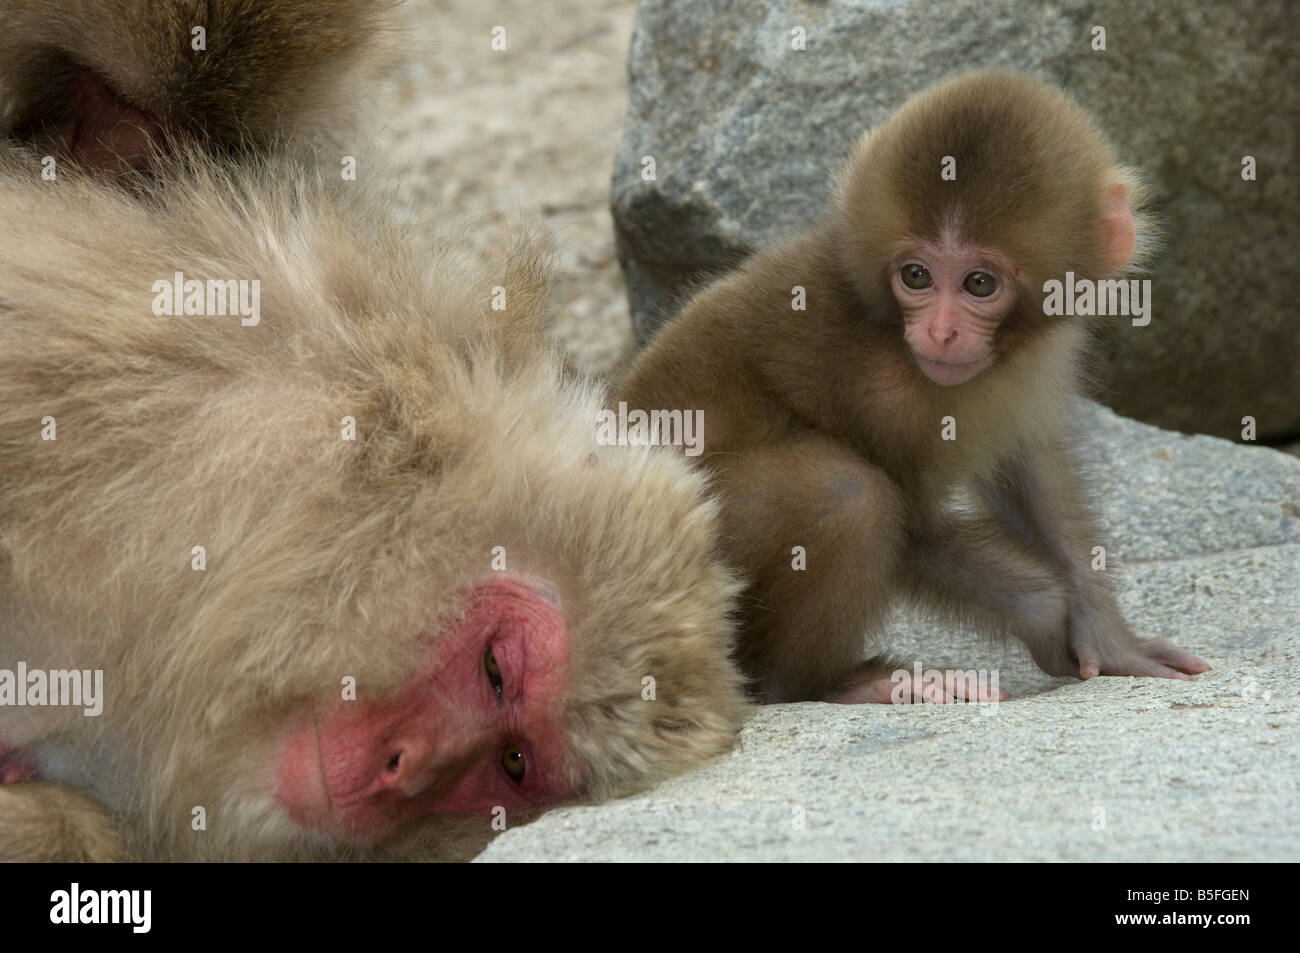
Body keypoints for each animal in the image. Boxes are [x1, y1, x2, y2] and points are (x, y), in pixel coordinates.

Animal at [618, 70, 1210, 705]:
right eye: (917, 275)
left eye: (980, 283)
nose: (940, 332)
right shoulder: (882, 395)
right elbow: (917, 530)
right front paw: (1045, 612)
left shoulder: (1044, 355)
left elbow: (1030, 466)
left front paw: (1108, 635)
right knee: (848, 493)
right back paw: (826, 684)